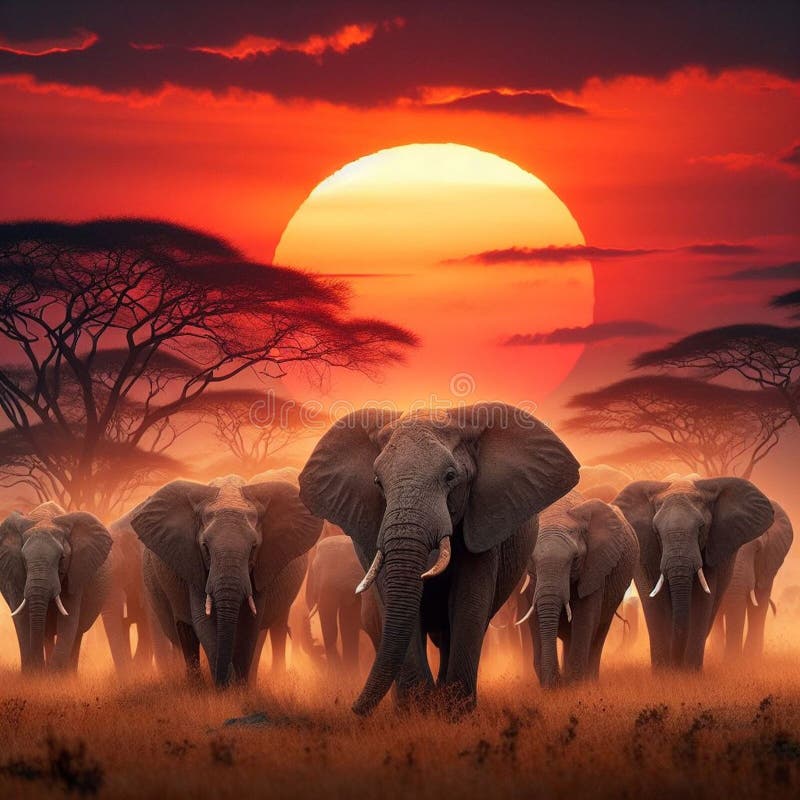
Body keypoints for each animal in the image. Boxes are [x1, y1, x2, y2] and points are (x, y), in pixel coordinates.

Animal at [0, 503, 112, 672]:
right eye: (23, 560)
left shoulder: (76, 574)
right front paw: (32, 674)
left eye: (62, 558)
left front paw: (54, 675)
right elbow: (22, 620)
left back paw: (69, 674)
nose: (39, 668)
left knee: (77, 633)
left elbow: (68, 620)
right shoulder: (14, 575)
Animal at [131, 474, 322, 686]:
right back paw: (195, 686)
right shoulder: (193, 562)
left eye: (254, 547)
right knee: (183, 632)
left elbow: (250, 621)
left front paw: (240, 688)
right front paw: (225, 688)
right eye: (205, 547)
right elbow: (203, 620)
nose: (226, 681)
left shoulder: (262, 565)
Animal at [298, 404, 579, 714]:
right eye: (377, 482)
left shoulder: (483, 519)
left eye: (450, 476)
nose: (352, 708)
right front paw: (416, 711)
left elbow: (468, 601)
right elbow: (396, 598)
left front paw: (454, 713)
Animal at [519, 491, 638, 687]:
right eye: (531, 560)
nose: (557, 683)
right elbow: (534, 619)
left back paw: (589, 681)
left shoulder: (595, 567)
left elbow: (584, 618)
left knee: (599, 632)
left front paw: (575, 686)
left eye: (574, 560)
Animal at [615, 476, 774, 670]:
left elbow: (701, 600)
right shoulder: (647, 550)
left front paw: (690, 672)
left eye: (701, 528)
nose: (675, 663)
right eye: (657, 532)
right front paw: (662, 672)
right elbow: (654, 600)